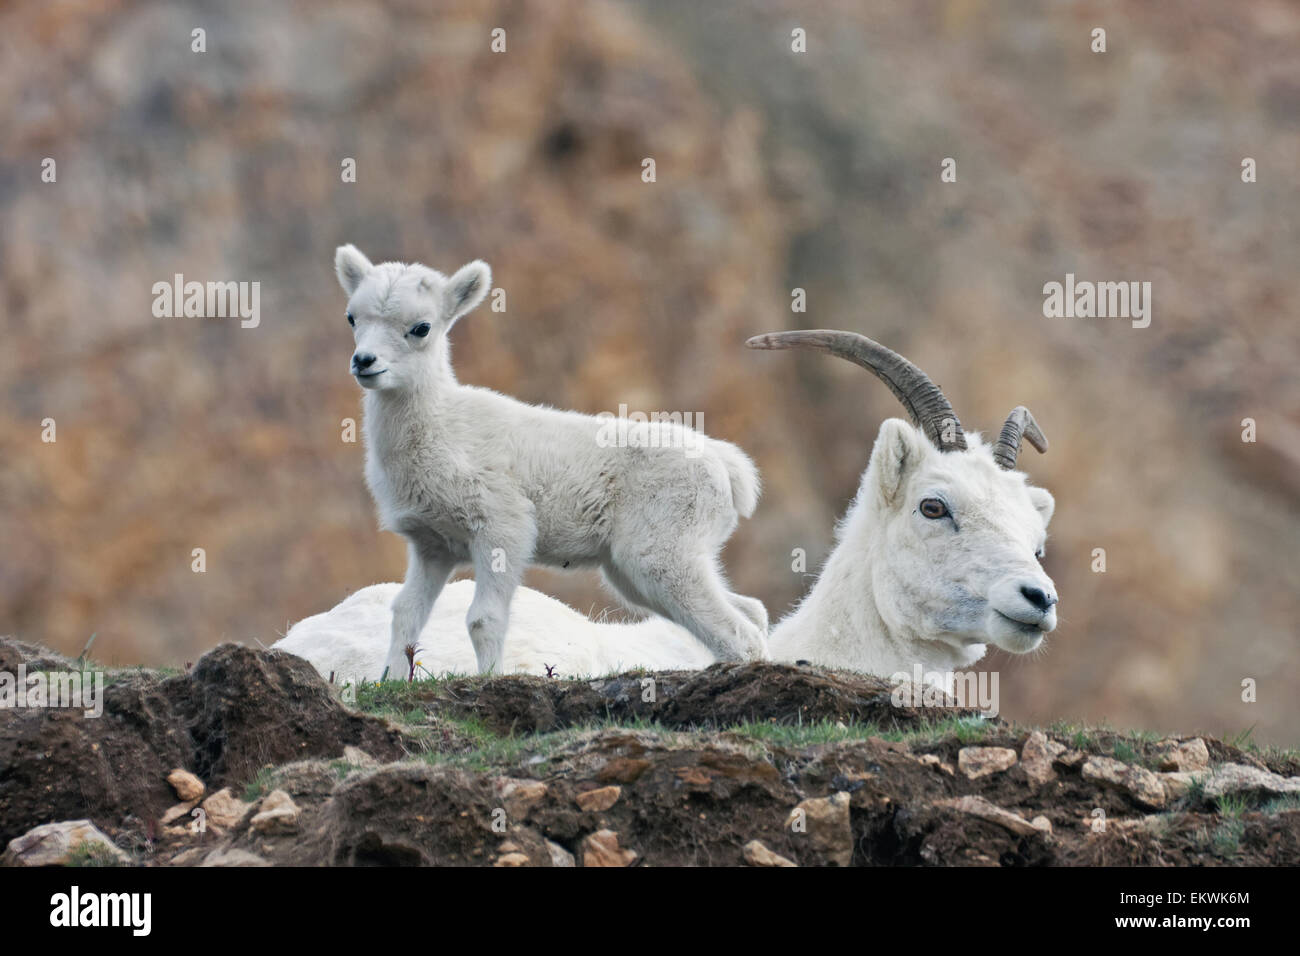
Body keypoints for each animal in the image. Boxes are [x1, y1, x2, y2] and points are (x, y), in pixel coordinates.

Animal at [331, 244, 766, 678]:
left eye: (421, 327)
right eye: (352, 317)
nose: (365, 361)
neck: (441, 427)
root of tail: (729, 470)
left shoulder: (504, 530)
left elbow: (484, 619)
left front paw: (490, 678)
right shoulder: (432, 546)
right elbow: (406, 614)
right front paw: (390, 680)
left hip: (660, 556)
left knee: (740, 634)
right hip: (639, 572)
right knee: (750, 611)